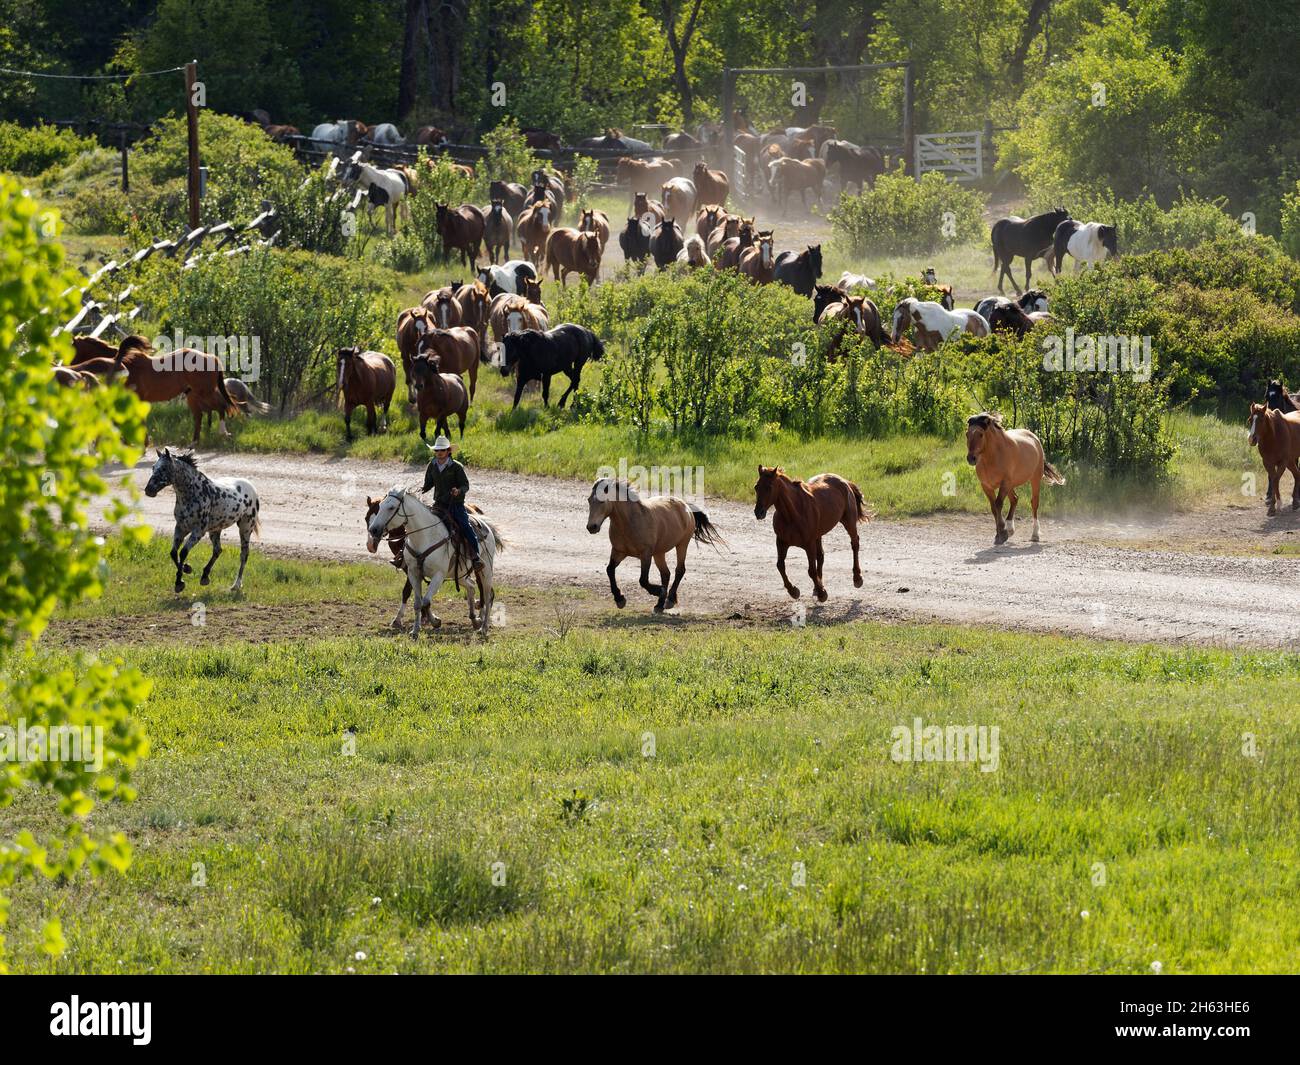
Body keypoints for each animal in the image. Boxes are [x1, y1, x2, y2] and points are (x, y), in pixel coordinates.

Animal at [144, 448, 259, 594]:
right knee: (217, 550)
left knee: (244, 554)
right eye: (153, 467)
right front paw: (186, 569)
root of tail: (251, 487)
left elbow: (183, 552)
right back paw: (205, 577)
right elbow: (173, 553)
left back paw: (236, 585)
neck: (194, 493)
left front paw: (179, 583)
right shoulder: (181, 528)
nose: (148, 490)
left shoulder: (198, 532)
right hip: (216, 529)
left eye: (164, 468)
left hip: (245, 528)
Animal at [367, 486, 503, 638]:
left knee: (487, 594)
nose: (373, 530)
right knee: (472, 587)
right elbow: (418, 602)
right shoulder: (413, 573)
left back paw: (484, 627)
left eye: (391, 507)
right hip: (459, 574)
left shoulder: (438, 575)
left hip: (485, 571)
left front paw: (434, 621)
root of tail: (486, 525)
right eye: (380, 506)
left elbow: (425, 601)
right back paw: (475, 619)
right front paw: (415, 630)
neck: (424, 537)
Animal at [586, 478, 724, 613]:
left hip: (682, 544)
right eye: (589, 500)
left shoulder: (645, 554)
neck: (630, 522)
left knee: (679, 570)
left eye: (602, 501)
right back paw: (659, 604)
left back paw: (669, 599)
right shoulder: (618, 551)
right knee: (666, 574)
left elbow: (643, 580)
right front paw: (619, 599)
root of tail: (686, 506)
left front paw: (658, 591)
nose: (591, 527)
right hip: (659, 553)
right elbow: (610, 570)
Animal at [753, 466, 867, 602]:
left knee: (855, 544)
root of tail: (844, 481)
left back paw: (857, 578)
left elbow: (811, 571)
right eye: (756, 487)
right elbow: (780, 565)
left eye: (769, 487)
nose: (758, 512)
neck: (793, 514)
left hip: (848, 522)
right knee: (821, 555)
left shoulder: (809, 544)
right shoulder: (781, 542)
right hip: (818, 535)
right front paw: (793, 591)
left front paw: (822, 594)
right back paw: (817, 587)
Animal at [966, 413, 1066, 544]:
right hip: (1011, 485)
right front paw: (1000, 534)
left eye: (981, 434)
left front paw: (1002, 534)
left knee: (1034, 503)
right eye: (967, 434)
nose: (971, 458)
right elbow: (993, 508)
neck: (992, 457)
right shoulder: (986, 486)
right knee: (1014, 499)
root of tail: (1035, 438)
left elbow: (998, 504)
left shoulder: (1004, 483)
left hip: (1034, 479)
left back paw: (1035, 534)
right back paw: (1010, 529)